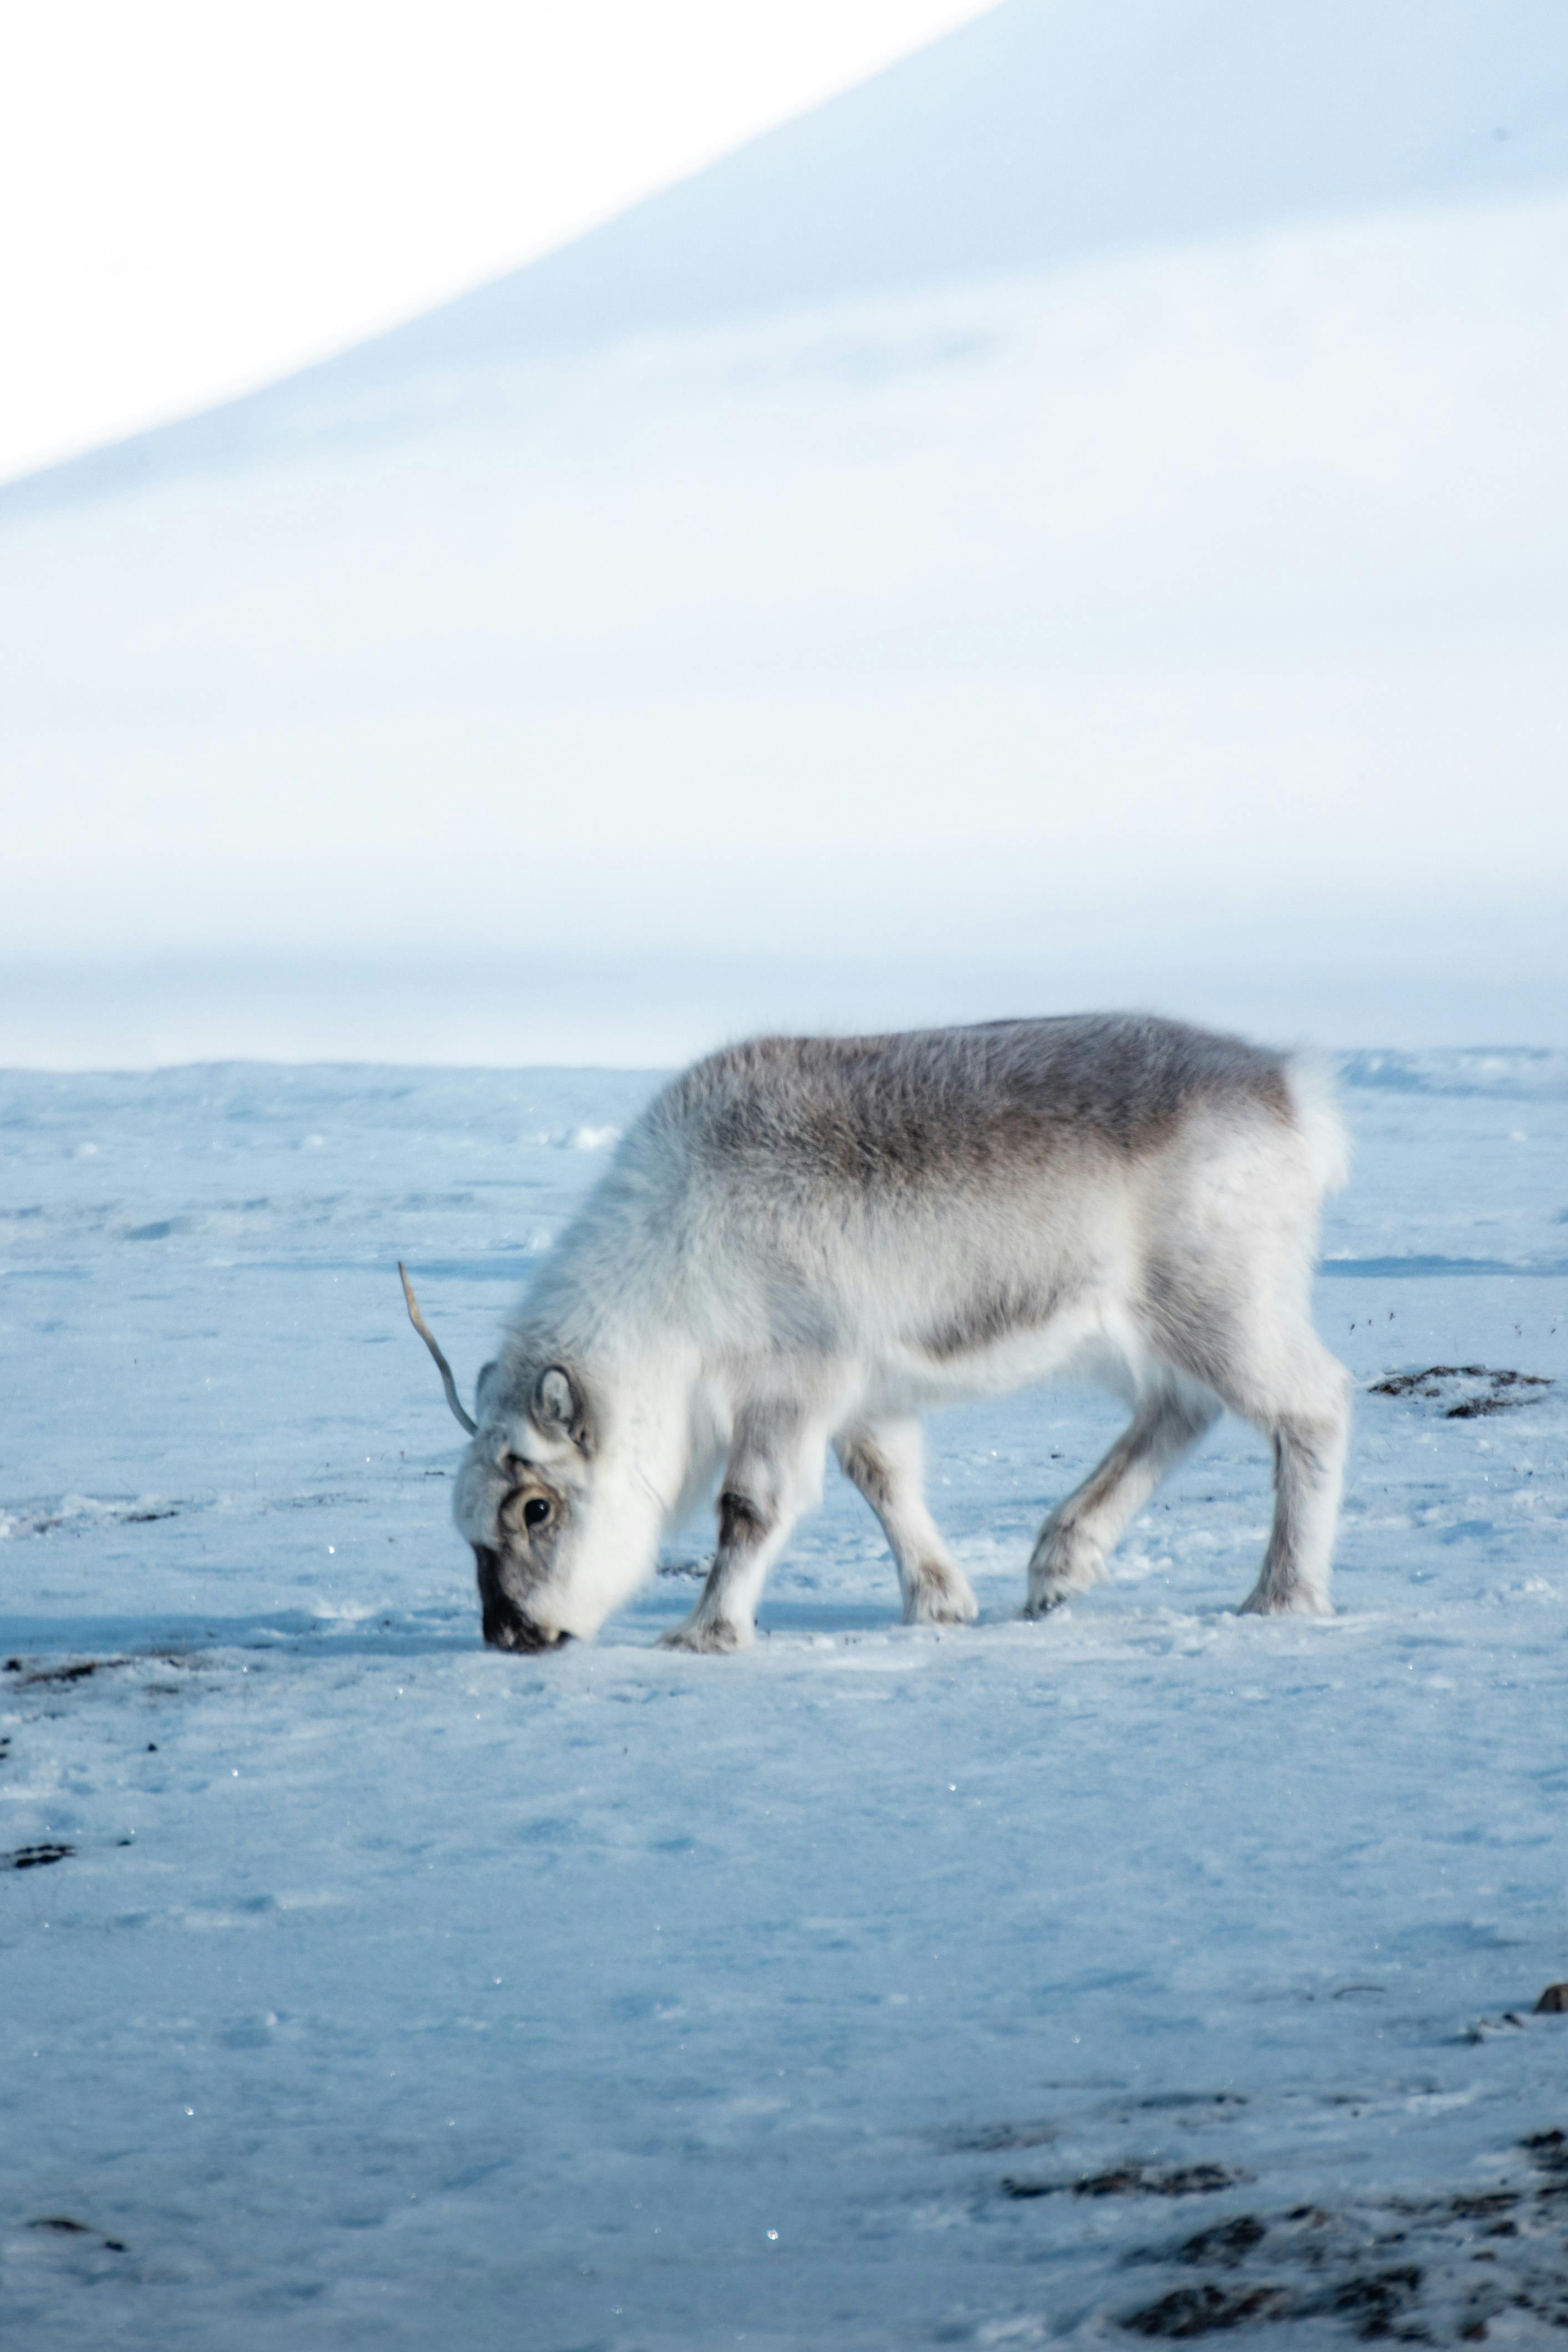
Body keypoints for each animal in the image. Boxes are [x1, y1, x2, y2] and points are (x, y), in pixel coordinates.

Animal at [400, 1014, 1349, 1653]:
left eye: (536, 1505)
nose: (509, 1634)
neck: (671, 1260)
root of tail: (1291, 1093)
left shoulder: (791, 1381)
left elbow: (751, 1506)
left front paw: (705, 1630)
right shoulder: (863, 1393)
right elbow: (886, 1480)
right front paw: (939, 1603)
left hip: (1223, 1310)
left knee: (1313, 1405)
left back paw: (1282, 1594)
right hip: (1155, 1333)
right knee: (1179, 1413)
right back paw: (1058, 1564)